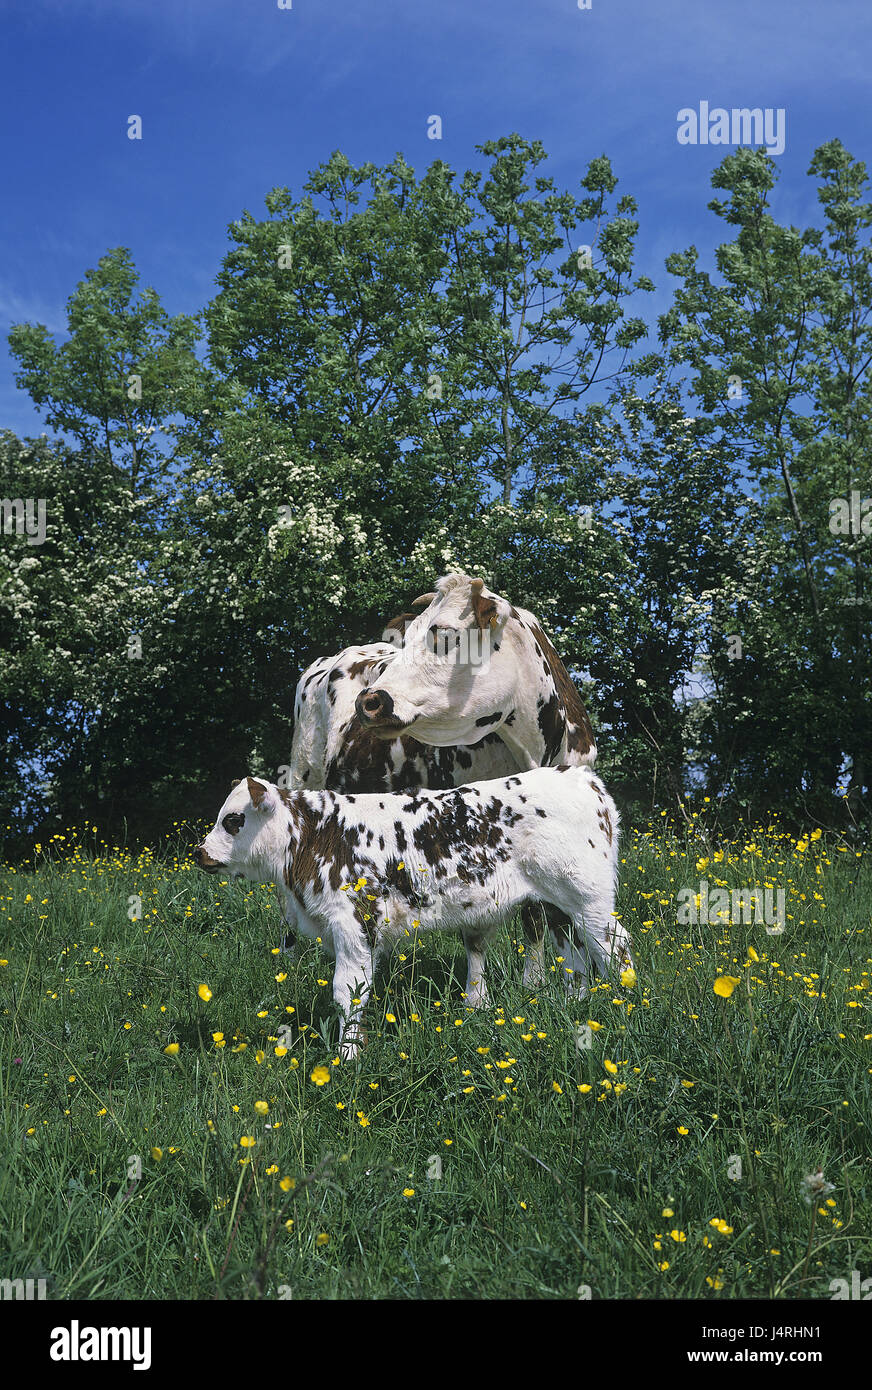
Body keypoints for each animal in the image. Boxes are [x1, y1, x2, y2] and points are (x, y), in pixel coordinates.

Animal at [193, 768, 631, 1059]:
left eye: (233, 820)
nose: (199, 853)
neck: (315, 836)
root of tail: (582, 777)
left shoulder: (354, 923)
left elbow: (348, 991)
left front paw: (348, 1058)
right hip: (558, 906)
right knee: (574, 956)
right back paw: (575, 1005)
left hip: (588, 898)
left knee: (614, 944)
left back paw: (627, 1004)